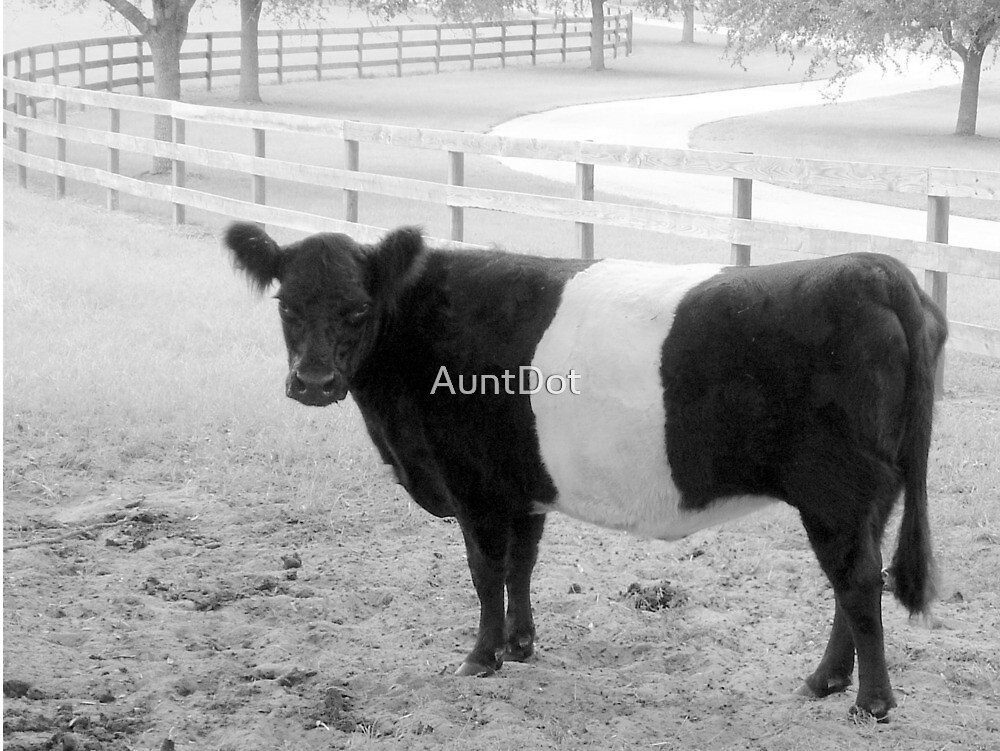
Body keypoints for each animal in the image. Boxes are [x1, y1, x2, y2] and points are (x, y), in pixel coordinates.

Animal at [224, 222, 947, 721]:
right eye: (285, 305)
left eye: (356, 308)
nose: (313, 382)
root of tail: (878, 271)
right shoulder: (521, 486)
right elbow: (521, 564)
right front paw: (519, 644)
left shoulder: (473, 483)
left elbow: (485, 571)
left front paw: (481, 657)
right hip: (866, 496)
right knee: (856, 582)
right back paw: (825, 681)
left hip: (835, 491)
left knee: (857, 583)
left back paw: (871, 702)